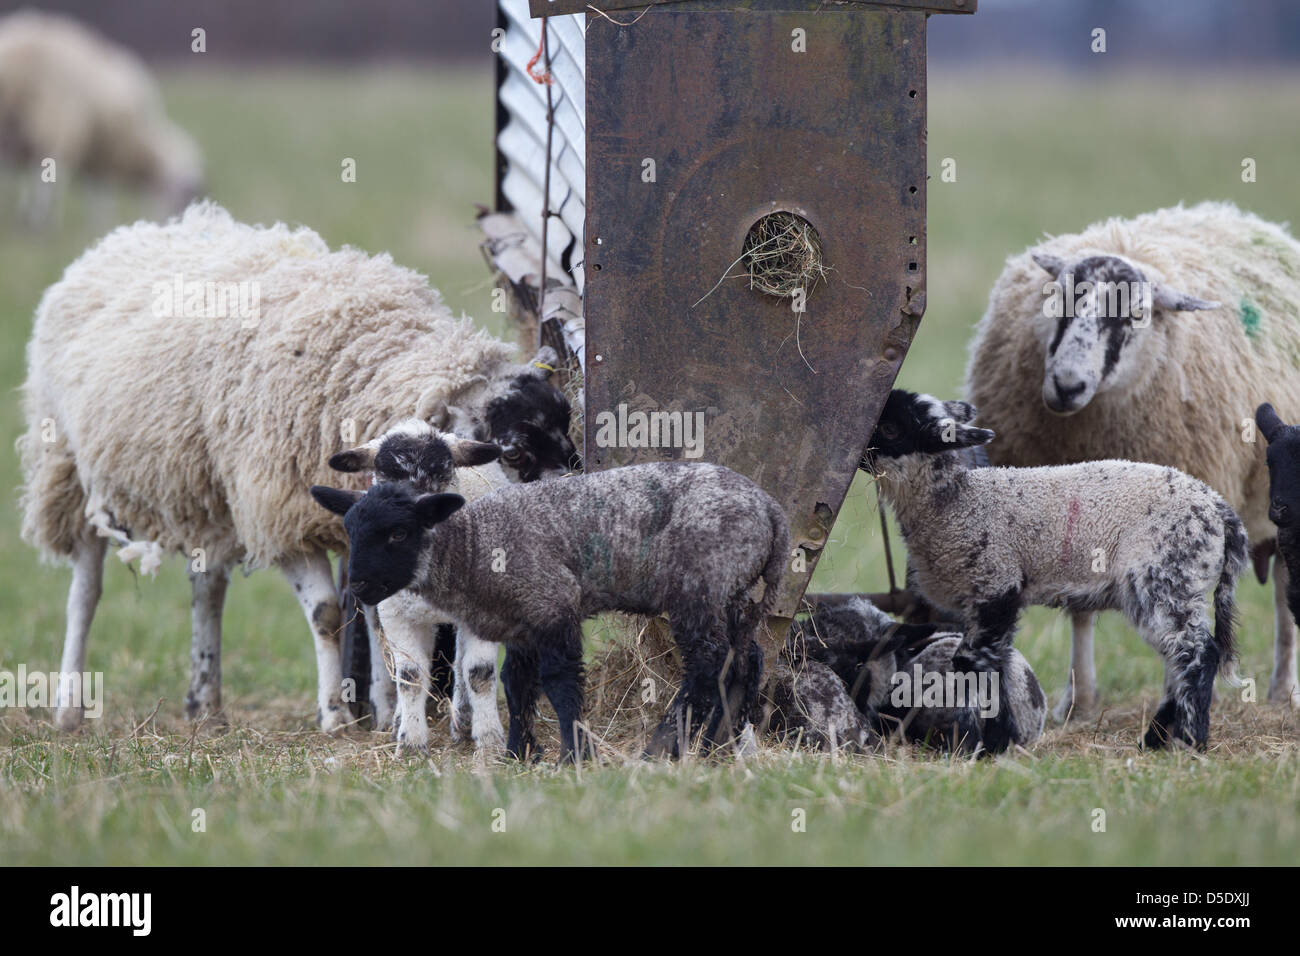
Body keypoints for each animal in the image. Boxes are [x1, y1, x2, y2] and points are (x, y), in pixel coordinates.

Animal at [0, 10, 203, 223]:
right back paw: (42, 219)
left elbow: (92, 193)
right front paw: (103, 220)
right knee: (48, 175)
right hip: (57, 119)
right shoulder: (107, 157)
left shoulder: (95, 156)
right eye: (184, 195)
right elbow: (101, 196)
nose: (174, 220)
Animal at [309, 460, 790, 761]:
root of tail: (770, 509)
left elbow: (559, 683)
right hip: (734, 592)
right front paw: (519, 754)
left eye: (399, 533)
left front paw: (574, 756)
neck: (472, 542)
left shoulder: (554, 604)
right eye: (351, 529)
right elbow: (517, 683)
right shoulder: (522, 624)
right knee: (744, 660)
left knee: (708, 662)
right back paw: (716, 749)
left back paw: (662, 747)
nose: (360, 586)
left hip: (700, 587)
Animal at [327, 419, 509, 753]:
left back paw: (463, 720)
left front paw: (490, 740)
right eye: (384, 476)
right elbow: (410, 675)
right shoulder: (395, 614)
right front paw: (411, 743)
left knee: (460, 663)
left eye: (442, 473)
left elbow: (479, 671)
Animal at [861, 389, 1247, 753]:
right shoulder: (991, 597)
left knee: (1198, 654)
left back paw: (1190, 740)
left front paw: (985, 746)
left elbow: (972, 664)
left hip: (1166, 575)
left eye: (891, 428)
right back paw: (1153, 741)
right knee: (1178, 657)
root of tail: (1220, 510)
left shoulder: (996, 582)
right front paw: (1001, 742)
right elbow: (999, 664)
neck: (955, 501)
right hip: (1174, 585)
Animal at [965, 201, 1300, 716]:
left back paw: (1283, 690)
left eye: (1136, 313)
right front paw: (1079, 703)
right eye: (1060, 296)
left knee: (1284, 592)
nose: (1067, 385)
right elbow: (1080, 613)